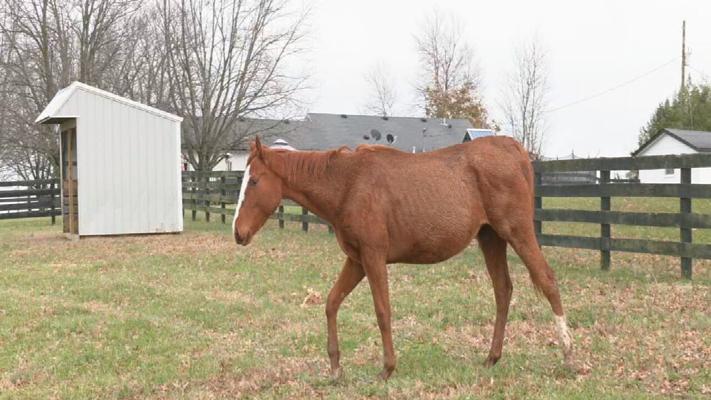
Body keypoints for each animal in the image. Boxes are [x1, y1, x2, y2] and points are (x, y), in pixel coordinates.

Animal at [232, 136, 575, 380]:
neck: (347, 184)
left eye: (254, 181)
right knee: (503, 290)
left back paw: (569, 356)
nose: (238, 233)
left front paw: (387, 368)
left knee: (548, 281)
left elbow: (382, 311)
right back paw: (492, 358)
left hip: (517, 232)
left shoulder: (373, 258)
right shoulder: (356, 261)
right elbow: (331, 303)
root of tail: (514, 149)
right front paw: (335, 368)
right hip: (491, 239)